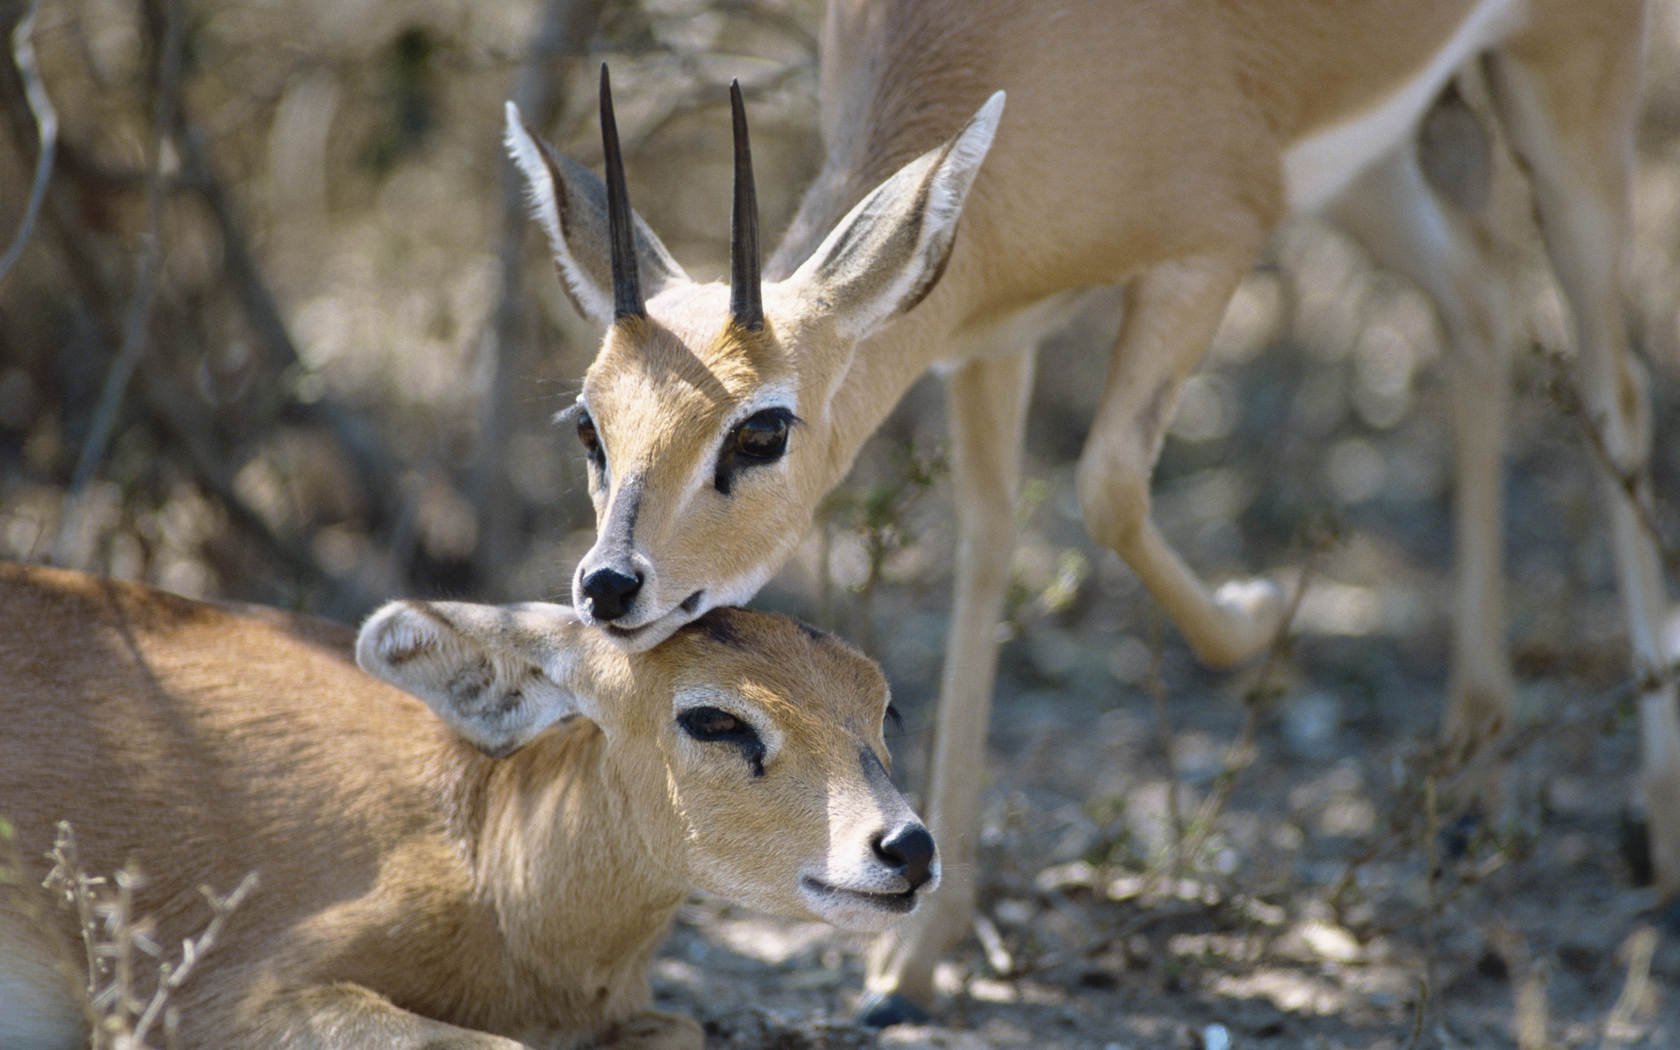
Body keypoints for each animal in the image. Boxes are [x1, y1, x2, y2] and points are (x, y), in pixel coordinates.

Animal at [505, 0, 1675, 1021]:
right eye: (588, 425)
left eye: (763, 430)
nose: (610, 585)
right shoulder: (985, 333)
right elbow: (986, 551)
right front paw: (911, 965)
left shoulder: (1213, 247)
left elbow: (1108, 485)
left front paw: (1260, 610)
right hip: (1373, 164)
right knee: (1477, 301)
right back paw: (1474, 765)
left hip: (1565, 89)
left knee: (1614, 388)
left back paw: (1652, 830)